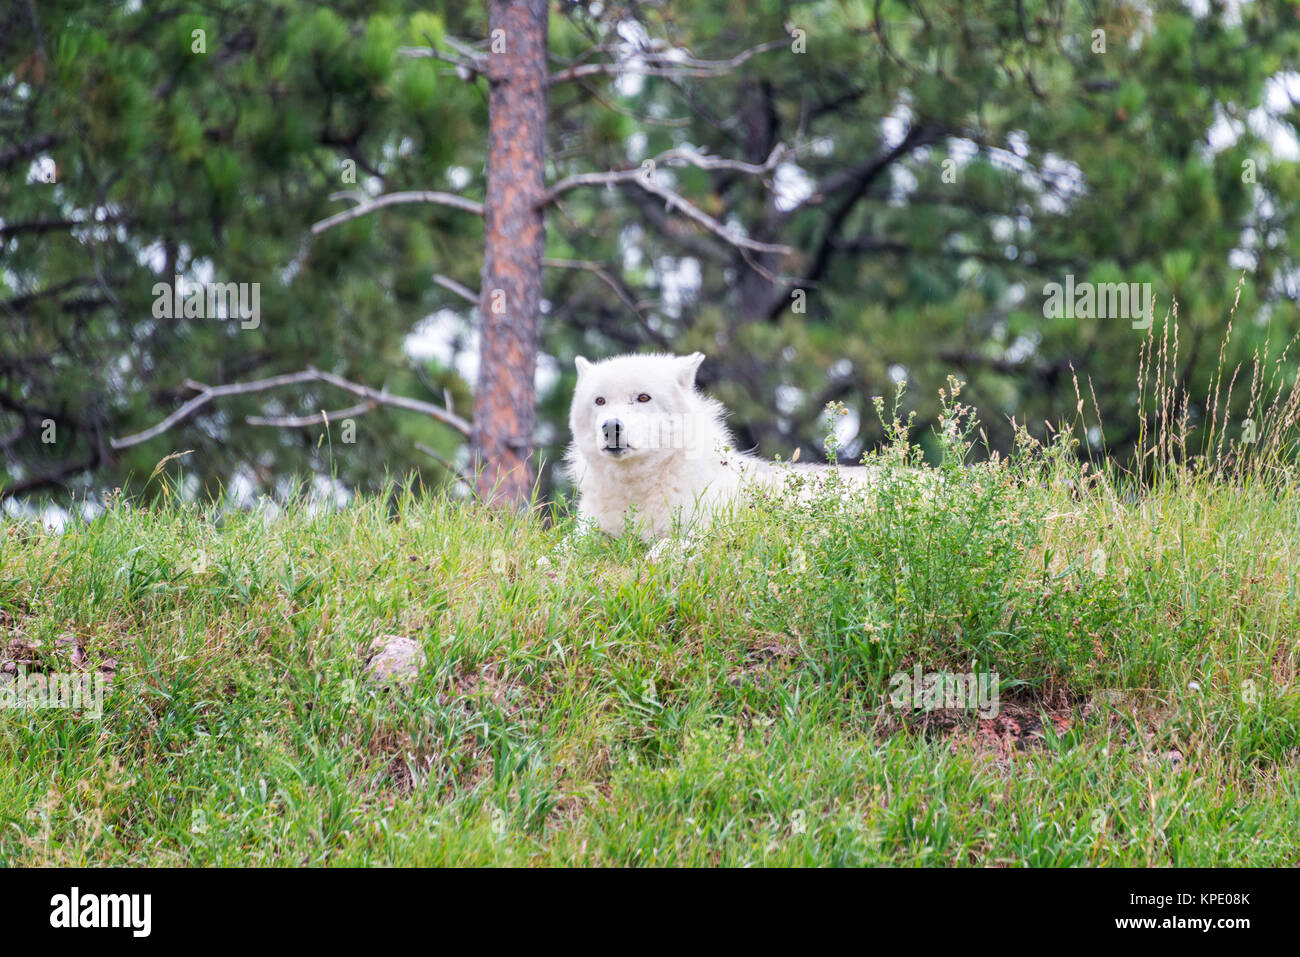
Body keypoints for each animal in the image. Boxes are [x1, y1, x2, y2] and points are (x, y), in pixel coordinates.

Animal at [566, 351, 884, 547]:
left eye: (644, 397)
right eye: (600, 401)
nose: (611, 427)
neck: (638, 490)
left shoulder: (712, 529)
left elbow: (669, 546)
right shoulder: (590, 531)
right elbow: (563, 548)